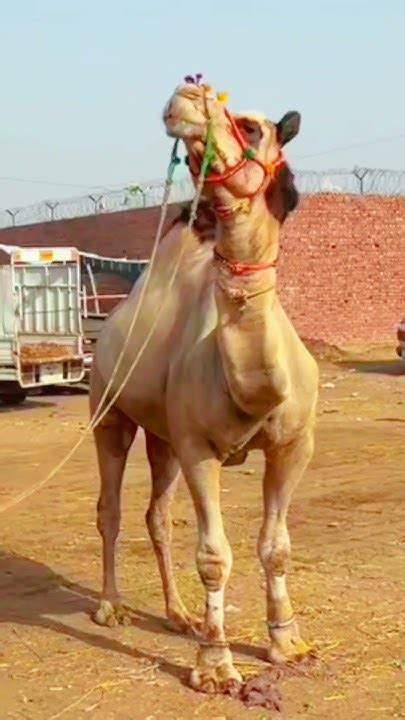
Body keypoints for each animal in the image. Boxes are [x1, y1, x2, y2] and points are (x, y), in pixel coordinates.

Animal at [90, 79, 319, 694]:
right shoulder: (199, 447)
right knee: (111, 508)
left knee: (156, 516)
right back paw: (112, 607)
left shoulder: (295, 445)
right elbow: (215, 555)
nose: (187, 92)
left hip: (163, 437)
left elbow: (277, 547)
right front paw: (215, 665)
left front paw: (287, 642)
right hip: (108, 410)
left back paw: (178, 614)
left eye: (253, 127)